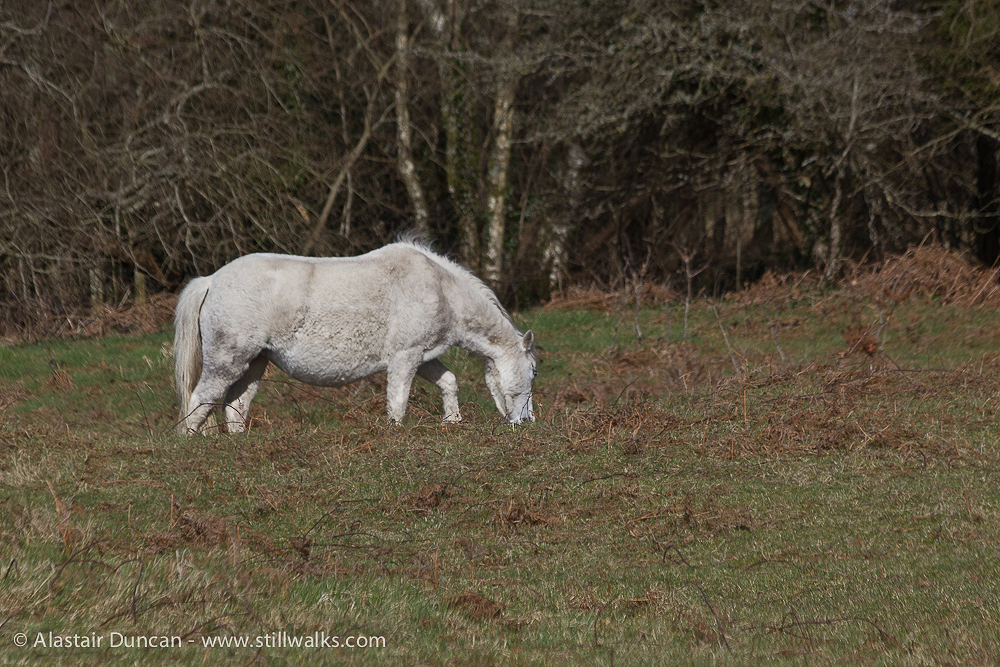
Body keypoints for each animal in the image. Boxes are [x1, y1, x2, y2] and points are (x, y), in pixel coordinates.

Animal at [173, 241, 536, 434]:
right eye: (533, 372)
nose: (526, 421)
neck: (441, 289)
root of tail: (211, 280)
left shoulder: (421, 355)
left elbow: (448, 381)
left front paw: (452, 422)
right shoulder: (405, 356)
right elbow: (398, 401)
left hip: (254, 363)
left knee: (235, 406)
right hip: (228, 361)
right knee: (200, 400)